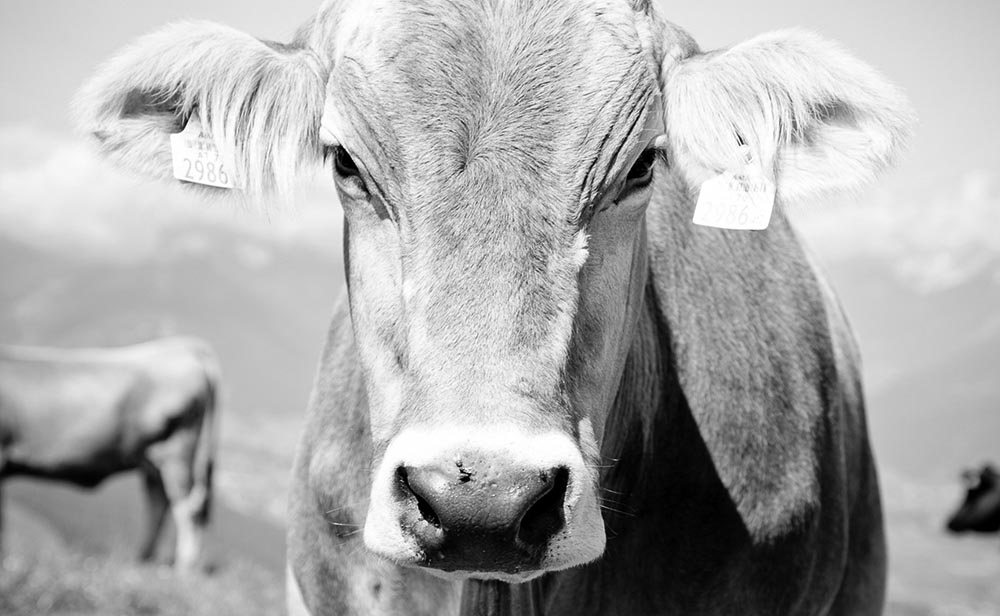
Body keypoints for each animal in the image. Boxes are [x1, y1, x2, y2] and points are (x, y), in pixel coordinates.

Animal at [0, 337, 219, 571]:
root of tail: (183, 345)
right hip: (153, 458)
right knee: (159, 501)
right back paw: (144, 558)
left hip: (176, 451)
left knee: (187, 506)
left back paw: (184, 565)